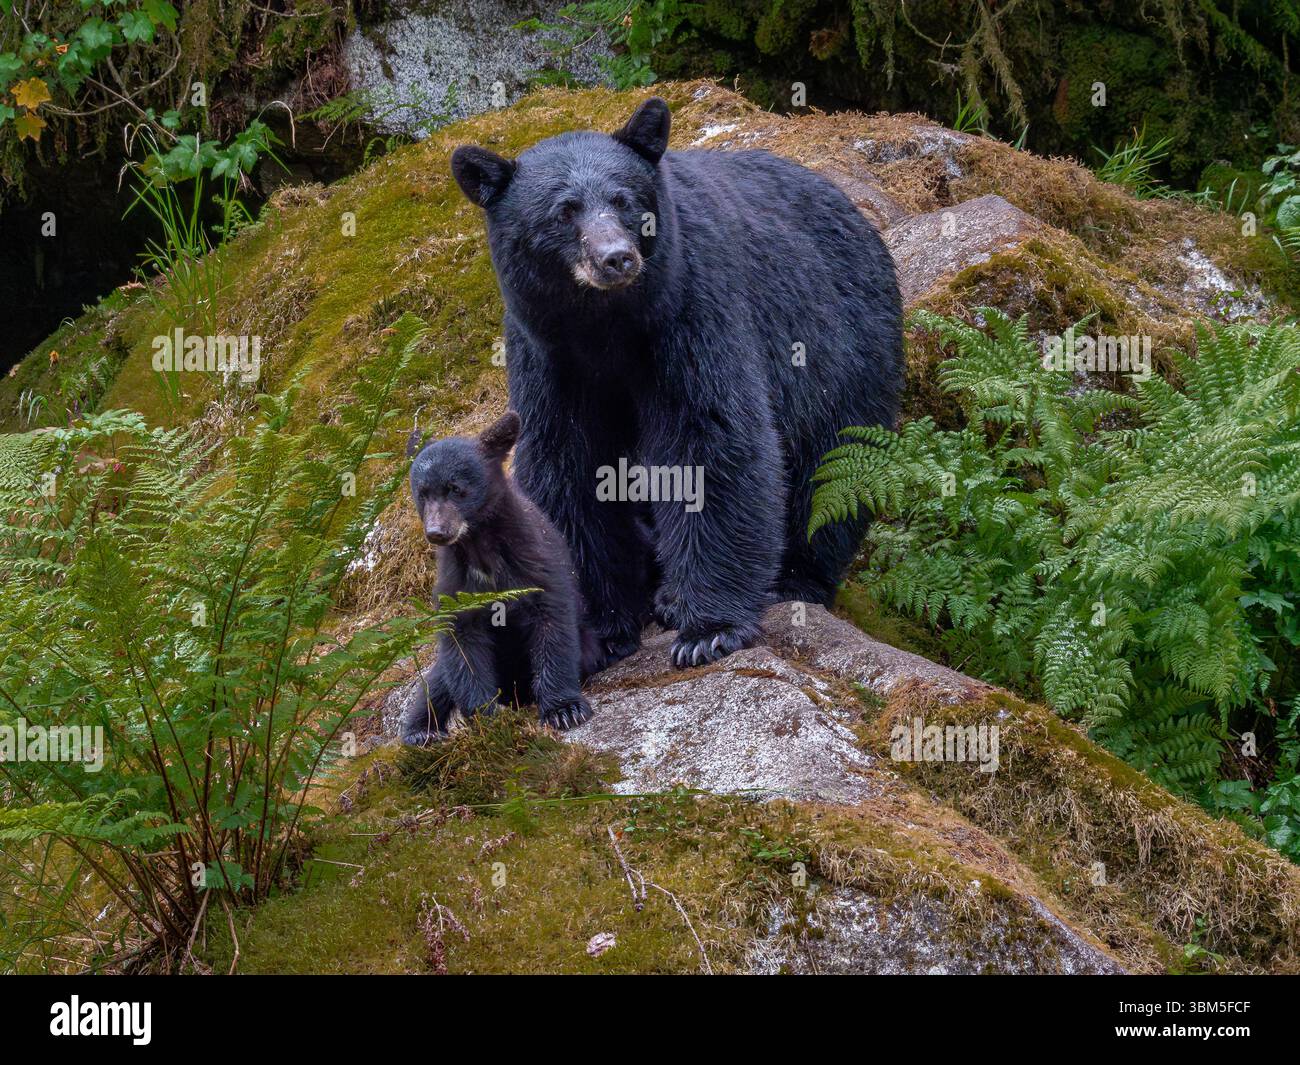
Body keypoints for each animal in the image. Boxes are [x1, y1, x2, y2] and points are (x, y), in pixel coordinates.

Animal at [399, 411, 593, 745]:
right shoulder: (456, 584)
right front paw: (487, 716)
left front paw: (565, 710)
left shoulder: (534, 562)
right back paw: (422, 731)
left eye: (455, 488)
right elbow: (463, 647)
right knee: (437, 680)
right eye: (422, 492)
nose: (437, 532)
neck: (480, 548)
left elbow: (553, 623)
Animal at [450, 97, 903, 672]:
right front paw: (600, 628)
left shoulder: (693, 308)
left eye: (624, 201)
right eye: (564, 212)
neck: (607, 326)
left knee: (830, 471)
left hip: (843, 351)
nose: (616, 257)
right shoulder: (547, 355)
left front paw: (708, 629)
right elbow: (567, 468)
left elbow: (709, 439)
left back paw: (794, 580)